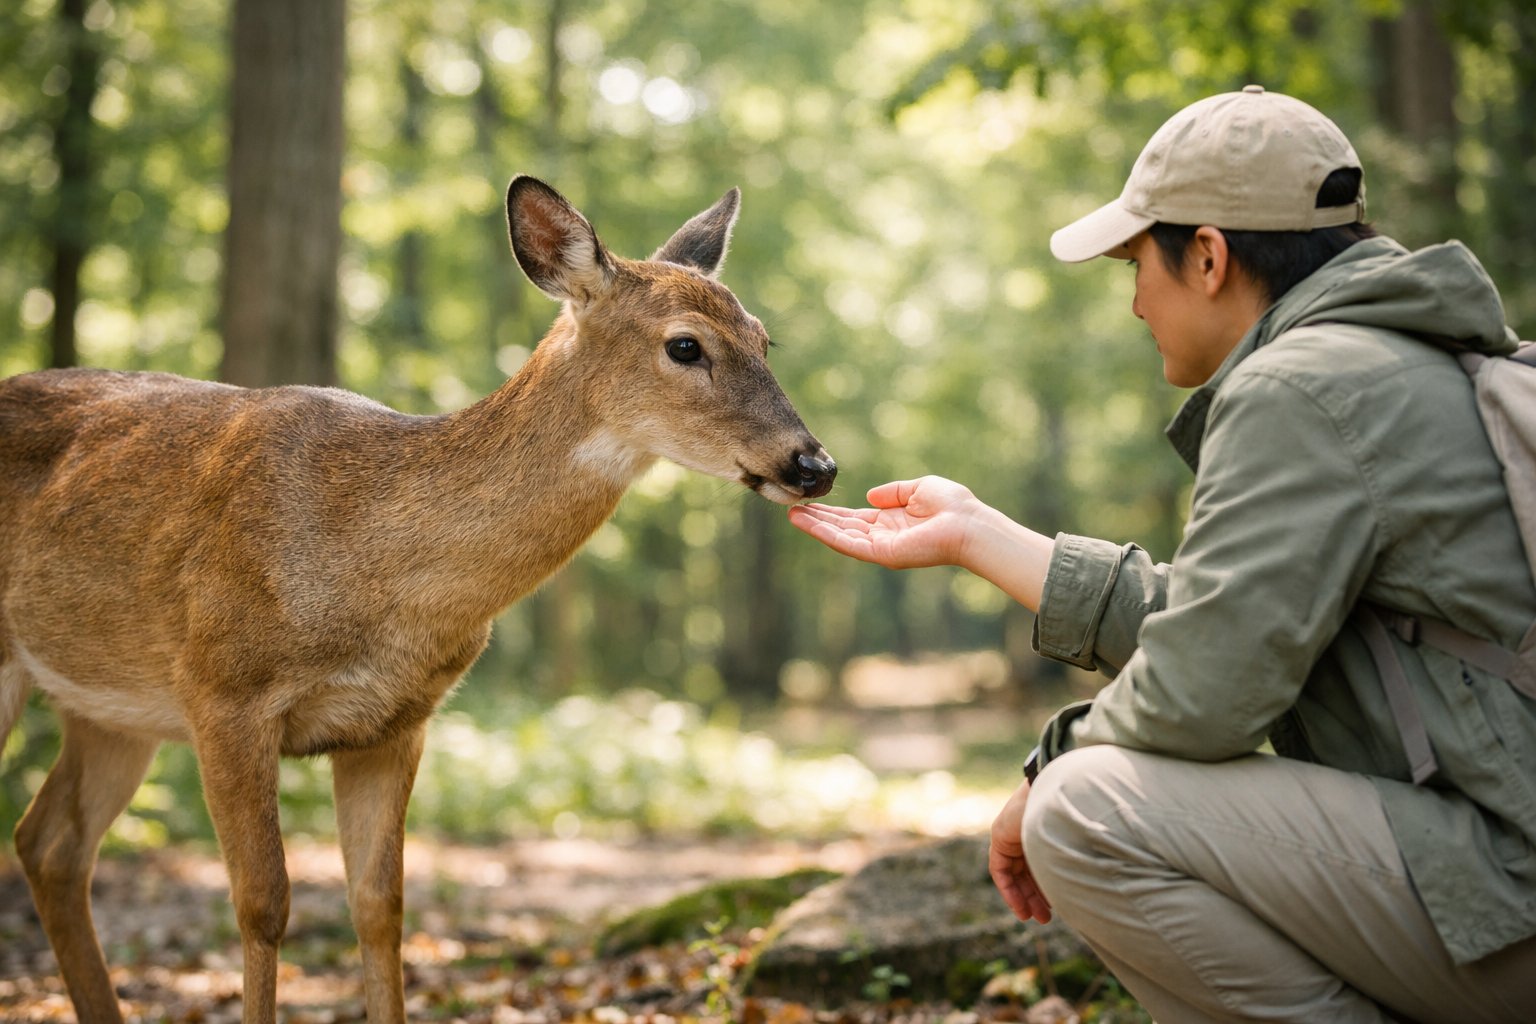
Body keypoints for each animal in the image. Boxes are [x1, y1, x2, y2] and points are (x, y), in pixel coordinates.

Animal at [0, 175, 836, 1024]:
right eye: (685, 345)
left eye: (765, 339)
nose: (814, 464)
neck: (375, 568)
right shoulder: (223, 690)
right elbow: (264, 904)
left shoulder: (396, 722)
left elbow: (380, 906)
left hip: (112, 705)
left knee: (49, 842)